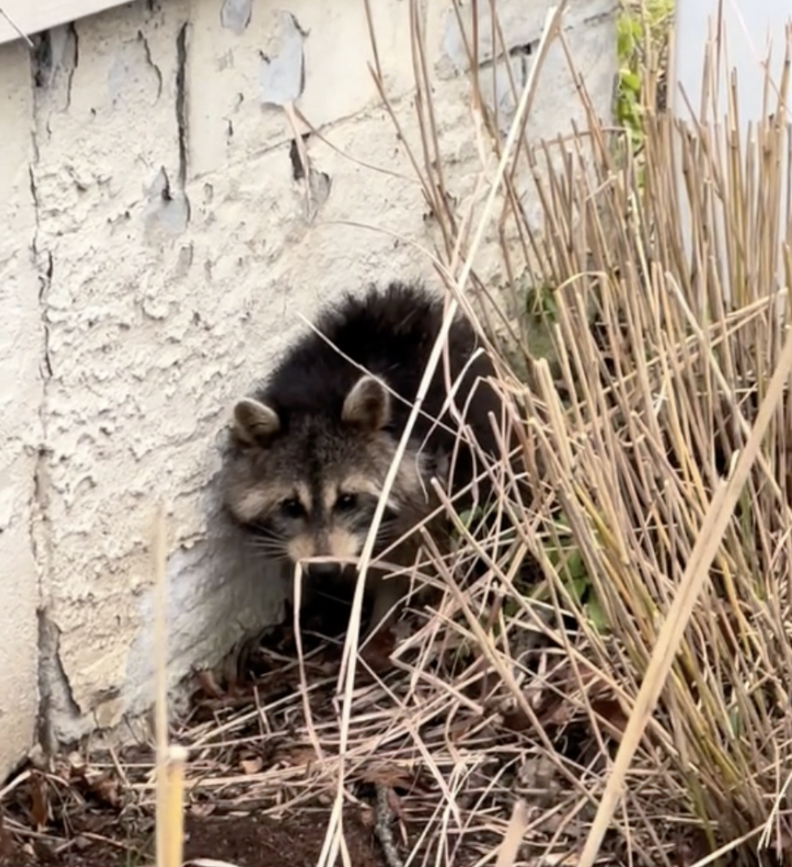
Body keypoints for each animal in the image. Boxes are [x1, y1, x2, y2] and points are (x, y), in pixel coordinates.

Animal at [221, 281, 504, 630]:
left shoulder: (426, 492)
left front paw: (379, 624)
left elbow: (408, 562)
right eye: (291, 506)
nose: (324, 571)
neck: (316, 397)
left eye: (347, 501)